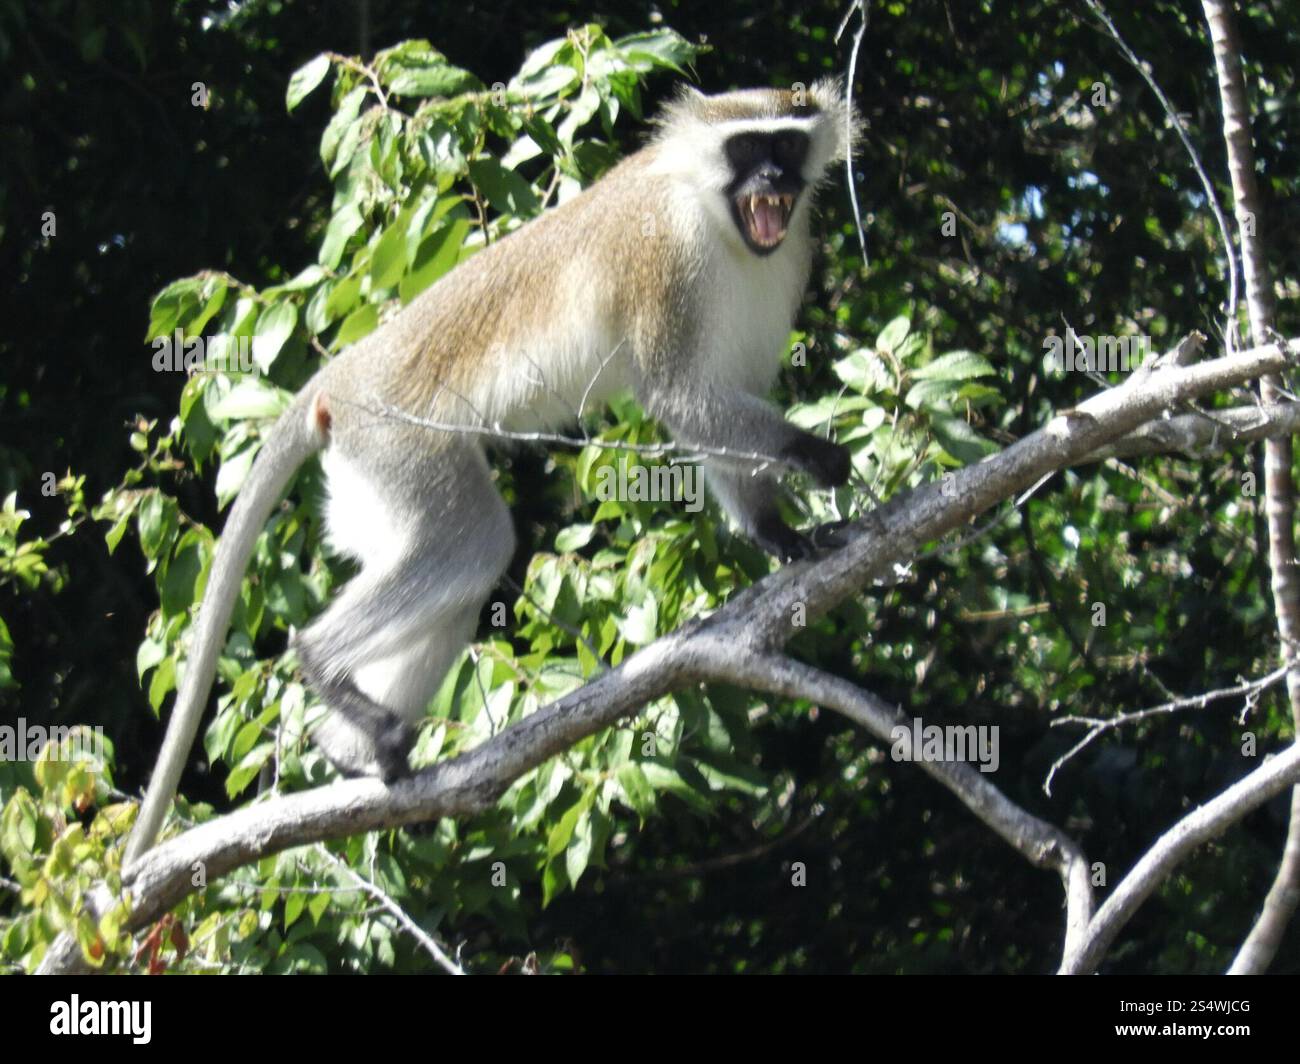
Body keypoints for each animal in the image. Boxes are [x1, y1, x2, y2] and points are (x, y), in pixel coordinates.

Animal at [125, 79, 856, 867]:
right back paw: (322, 664)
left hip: (367, 483)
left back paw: (351, 748)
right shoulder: (662, 259)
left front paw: (777, 531)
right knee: (473, 542)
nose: (774, 179)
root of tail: (338, 382)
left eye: (786, 144)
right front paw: (817, 456)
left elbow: (725, 411)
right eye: (746, 146)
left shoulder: (784, 259)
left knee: (448, 576)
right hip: (396, 443)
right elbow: (683, 399)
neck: (715, 221)